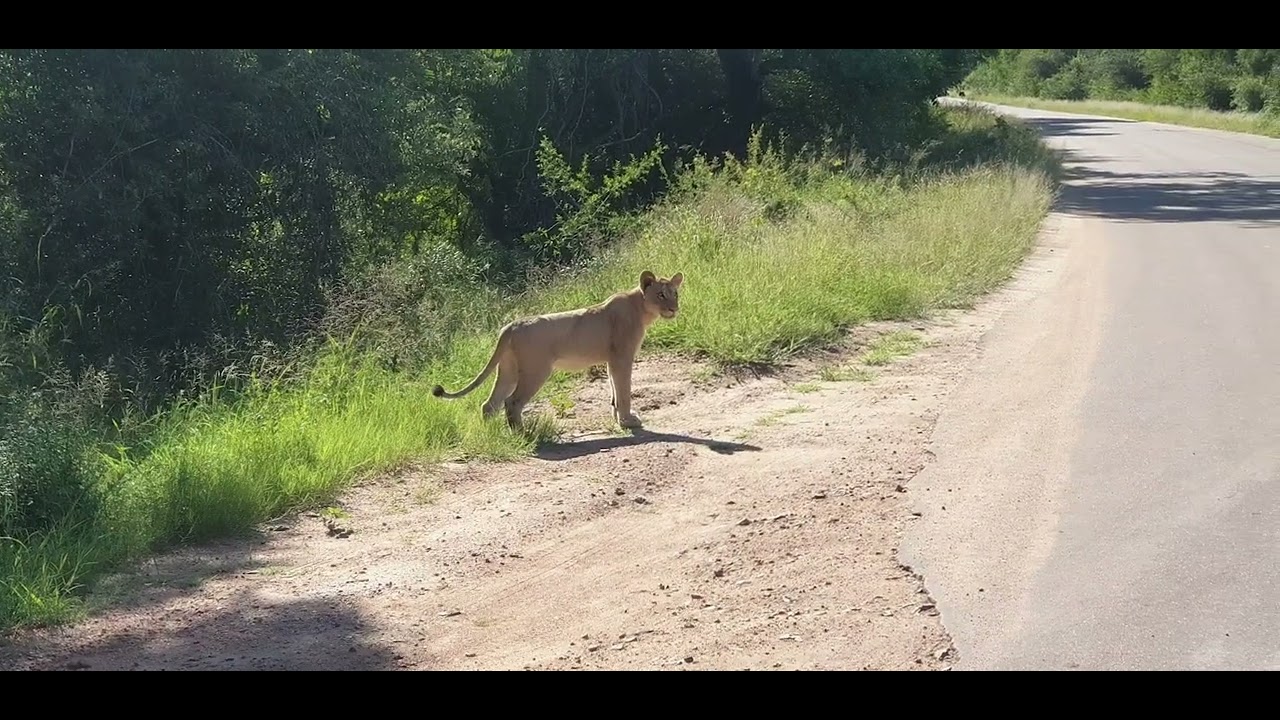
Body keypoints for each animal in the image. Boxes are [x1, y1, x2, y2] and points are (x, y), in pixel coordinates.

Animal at [432, 269, 684, 430]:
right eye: (661, 294)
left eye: (675, 293)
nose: (674, 308)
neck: (642, 310)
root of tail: (510, 326)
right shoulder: (622, 357)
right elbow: (623, 391)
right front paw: (627, 421)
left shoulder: (611, 360)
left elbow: (614, 390)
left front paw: (619, 419)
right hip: (536, 371)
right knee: (511, 402)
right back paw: (522, 433)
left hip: (508, 370)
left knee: (489, 404)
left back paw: (491, 435)